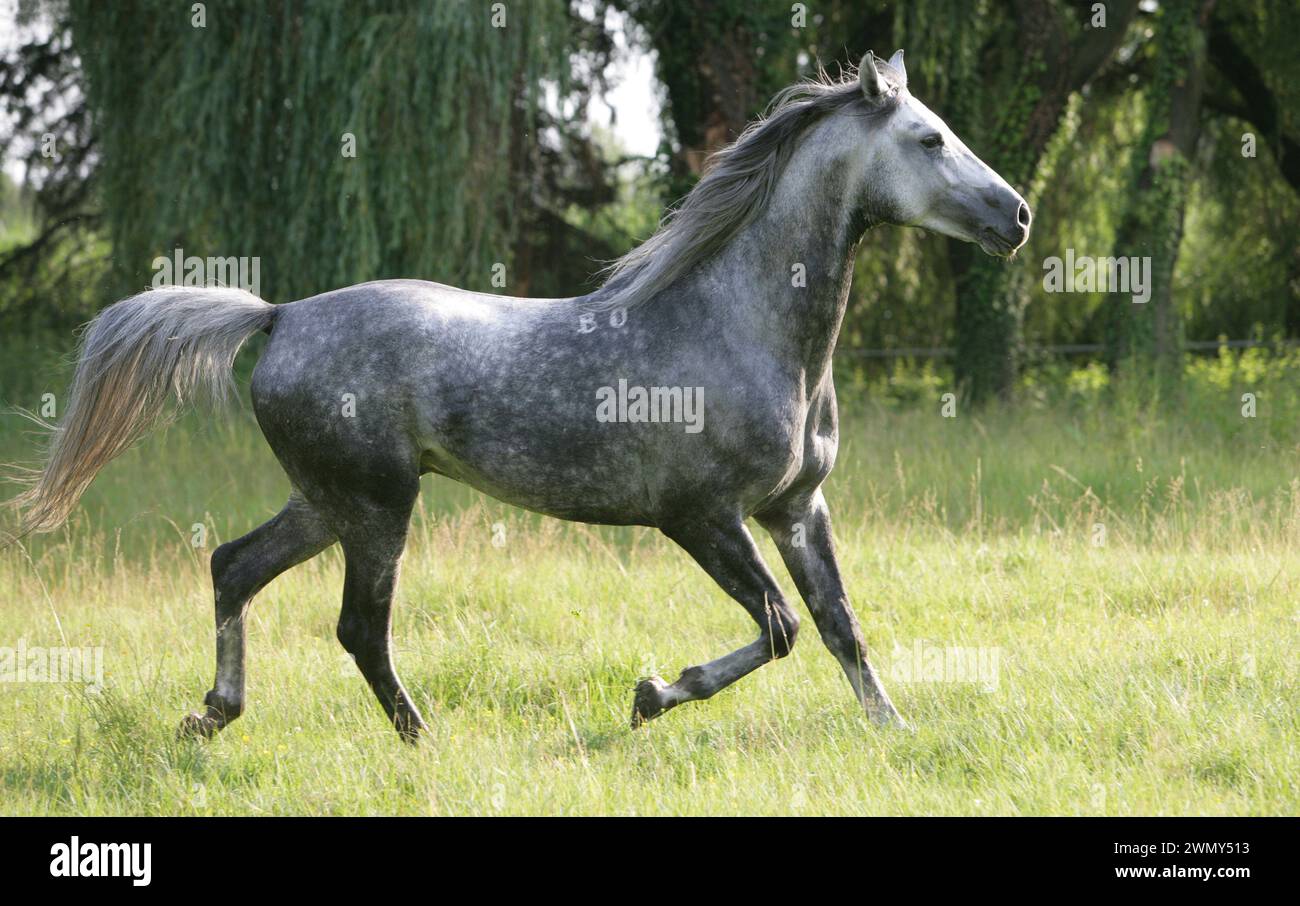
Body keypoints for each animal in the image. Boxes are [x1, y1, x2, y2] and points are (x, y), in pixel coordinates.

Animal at [8, 51, 1029, 742]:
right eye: (929, 138)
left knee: (232, 567)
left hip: (328, 500)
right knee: (357, 627)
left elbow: (840, 627)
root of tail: (280, 314)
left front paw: (892, 731)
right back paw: (422, 740)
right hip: (377, 506)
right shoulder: (700, 516)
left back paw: (212, 715)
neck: (744, 327)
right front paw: (651, 695)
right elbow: (778, 629)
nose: (1016, 216)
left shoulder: (795, 509)